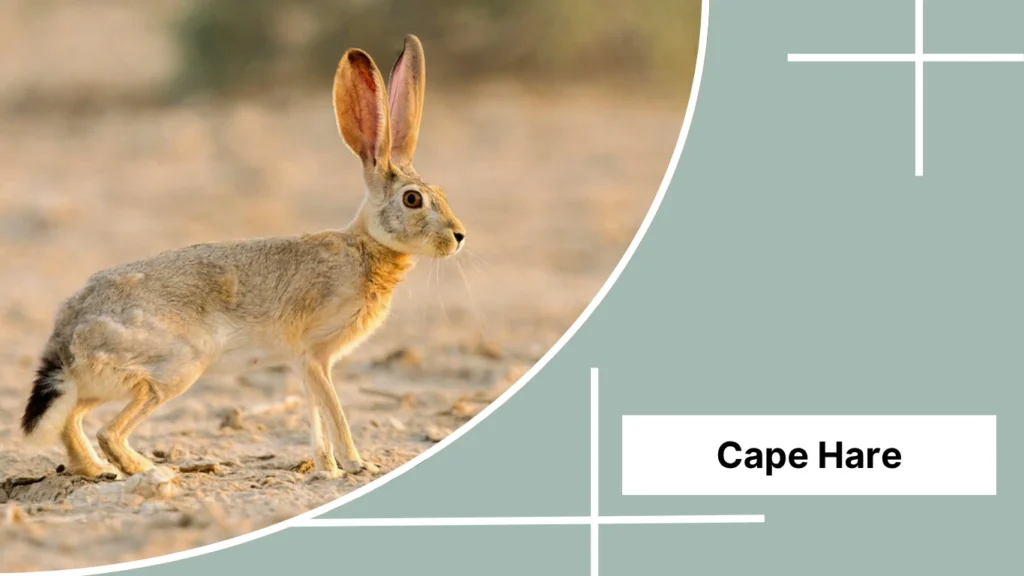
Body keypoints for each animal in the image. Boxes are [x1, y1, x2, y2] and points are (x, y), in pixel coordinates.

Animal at [20, 35, 466, 479]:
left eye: (442, 193)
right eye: (413, 200)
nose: (459, 236)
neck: (366, 247)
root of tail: (67, 335)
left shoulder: (305, 363)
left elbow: (316, 415)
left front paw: (326, 467)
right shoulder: (315, 353)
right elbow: (334, 411)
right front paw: (358, 465)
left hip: (105, 384)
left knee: (71, 422)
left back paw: (97, 471)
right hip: (175, 369)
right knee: (108, 431)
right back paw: (148, 469)